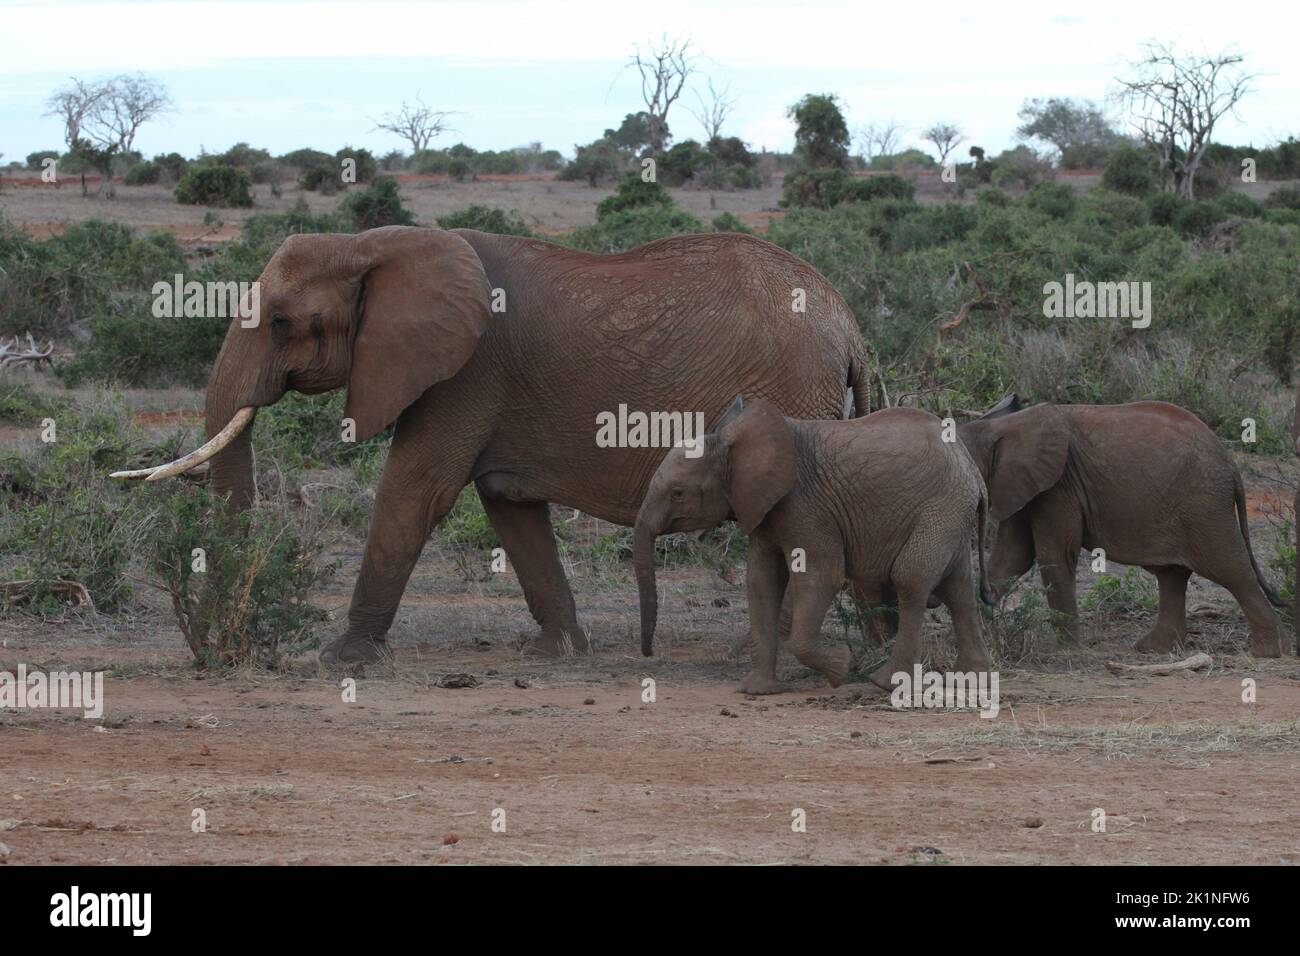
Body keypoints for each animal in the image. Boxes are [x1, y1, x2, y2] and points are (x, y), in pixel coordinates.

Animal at [115, 226, 870, 664]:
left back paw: (753, 657)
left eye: (278, 321)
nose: (225, 645)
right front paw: (558, 653)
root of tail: (849, 324)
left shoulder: (466, 371)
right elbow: (508, 505)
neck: (372, 244)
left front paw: (341, 658)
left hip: (790, 393)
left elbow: (415, 492)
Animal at [633, 397, 993, 694]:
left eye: (678, 493)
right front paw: (757, 691)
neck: (733, 442)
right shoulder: (766, 511)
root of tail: (973, 470)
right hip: (952, 512)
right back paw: (970, 679)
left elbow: (821, 577)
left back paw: (885, 683)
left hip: (941, 507)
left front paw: (843, 668)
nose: (648, 654)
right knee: (958, 588)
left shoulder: (805, 506)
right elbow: (761, 581)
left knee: (911, 579)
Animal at [958, 396, 1288, 657]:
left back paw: (1266, 652)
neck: (1004, 426)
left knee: (1231, 569)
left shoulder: (1058, 486)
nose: (985, 594)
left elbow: (1054, 556)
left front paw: (1067, 650)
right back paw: (1153, 649)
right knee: (1173, 575)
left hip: (1204, 504)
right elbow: (1014, 555)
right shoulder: (1022, 485)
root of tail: (1232, 465)